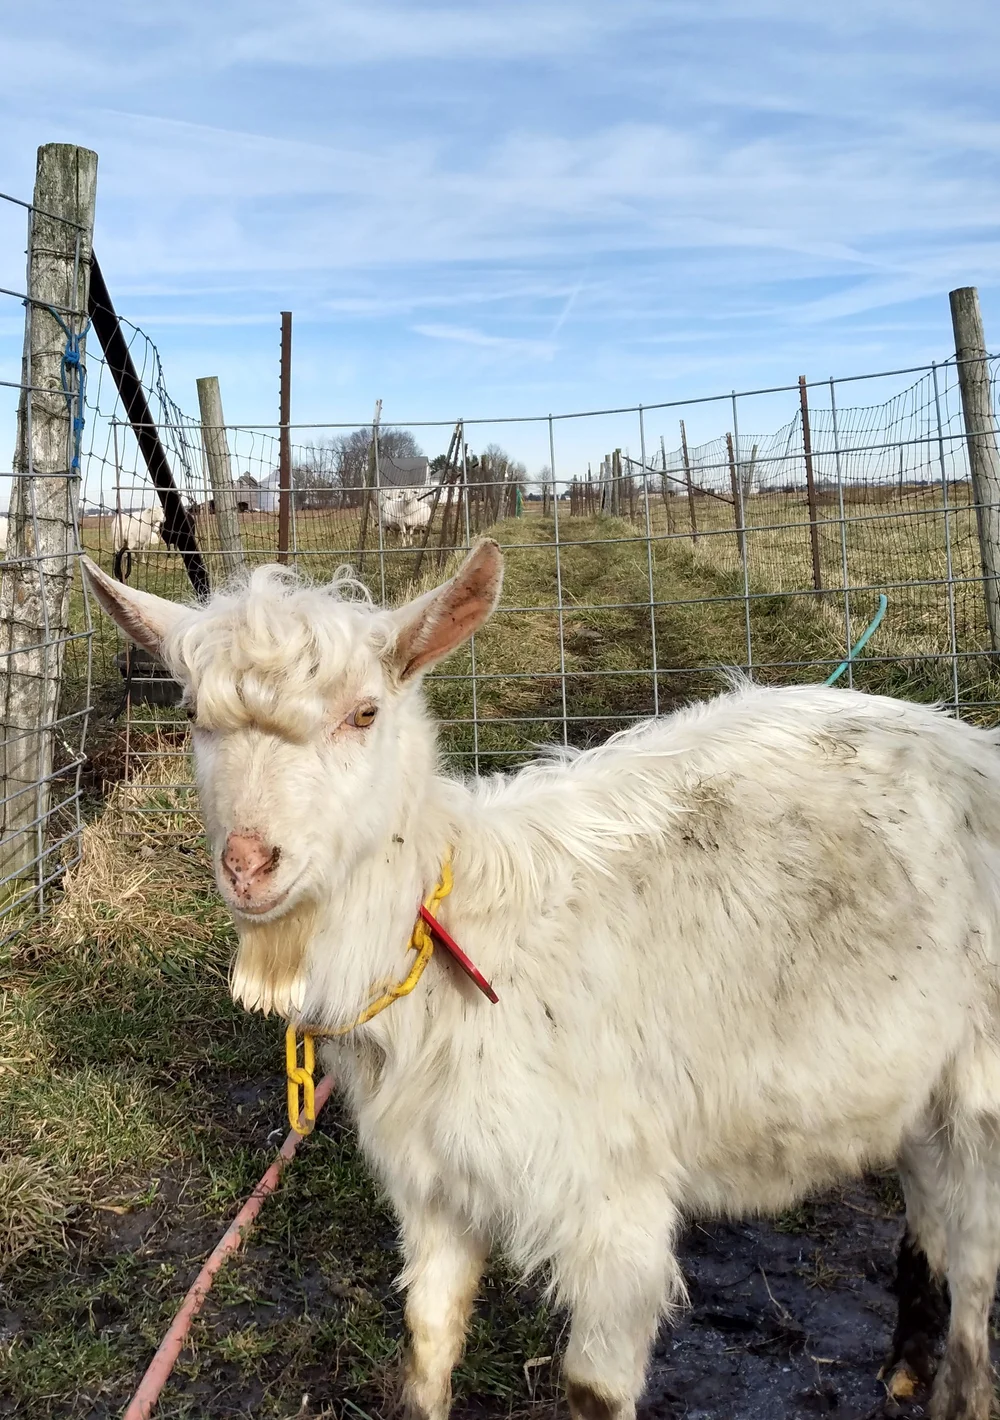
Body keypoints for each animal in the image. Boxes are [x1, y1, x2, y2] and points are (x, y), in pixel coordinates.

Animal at [83, 542, 1000, 1420]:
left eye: (365, 713)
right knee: (931, 1207)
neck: (462, 940)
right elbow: (427, 1344)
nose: (248, 864)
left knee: (979, 1280)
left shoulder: (613, 1201)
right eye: (193, 717)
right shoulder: (432, 1186)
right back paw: (905, 1369)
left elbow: (593, 1387)